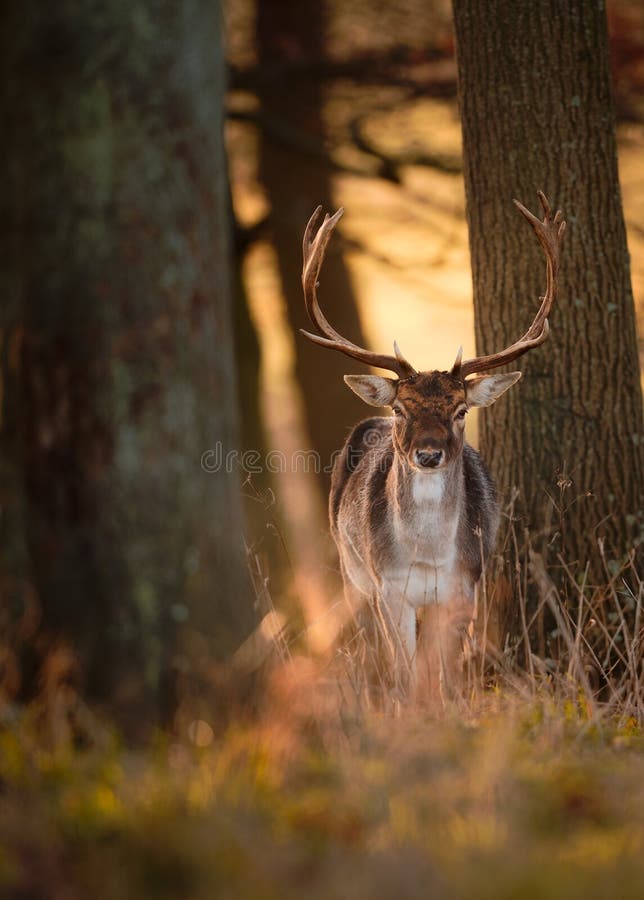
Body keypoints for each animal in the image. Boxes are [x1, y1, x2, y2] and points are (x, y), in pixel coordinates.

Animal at [300, 192, 565, 704]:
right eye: (402, 408)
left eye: (460, 410)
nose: (427, 454)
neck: (426, 555)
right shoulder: (388, 588)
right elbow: (407, 676)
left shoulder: (465, 586)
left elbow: (445, 677)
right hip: (352, 574)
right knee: (371, 650)